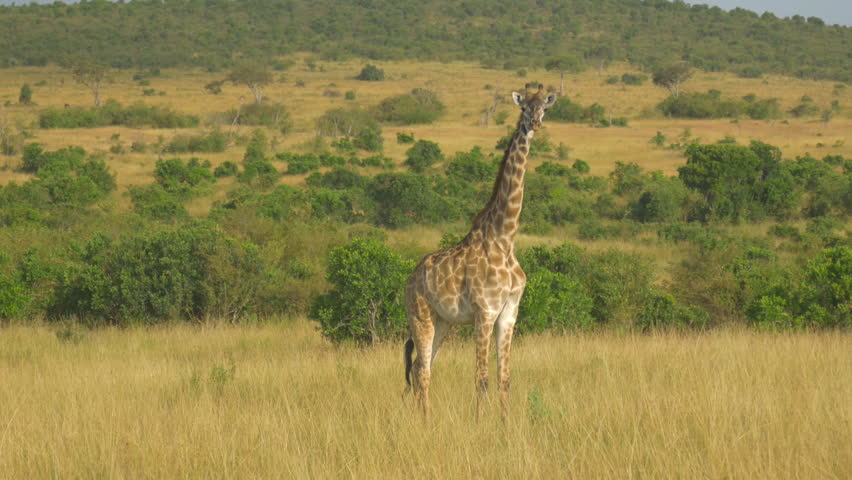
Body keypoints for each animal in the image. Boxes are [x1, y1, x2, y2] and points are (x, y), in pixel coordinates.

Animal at [404, 84, 557, 419]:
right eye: (524, 107)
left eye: (544, 108)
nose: (535, 124)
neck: (505, 238)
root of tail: (409, 279)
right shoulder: (484, 311)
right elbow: (482, 378)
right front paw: (479, 423)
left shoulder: (509, 313)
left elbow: (504, 377)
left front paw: (505, 423)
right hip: (420, 315)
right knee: (421, 370)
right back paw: (425, 421)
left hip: (443, 321)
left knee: (423, 366)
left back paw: (423, 418)